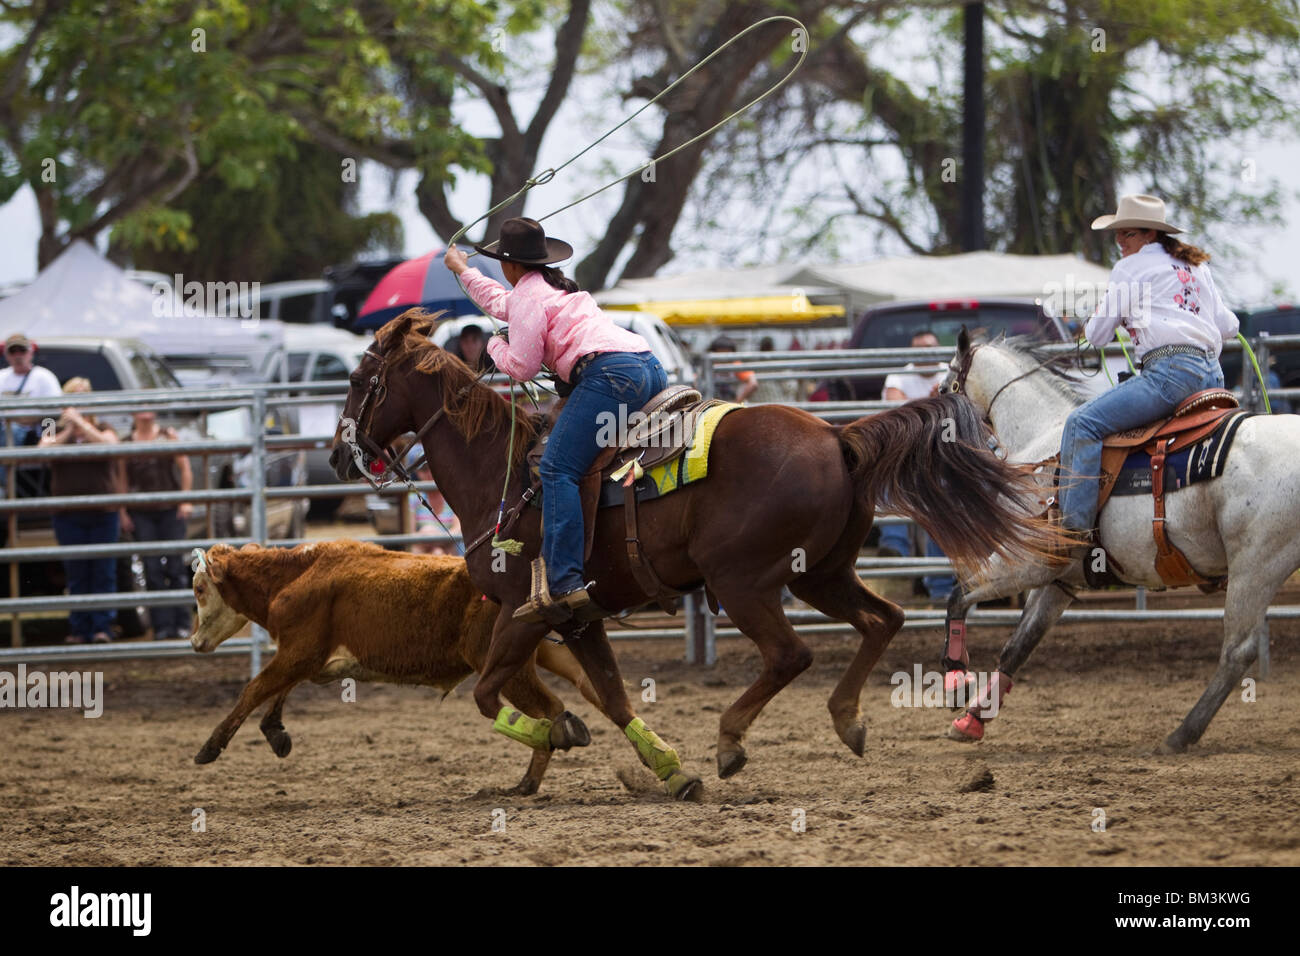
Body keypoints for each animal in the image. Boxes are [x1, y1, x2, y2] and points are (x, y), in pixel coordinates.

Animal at [190, 540, 604, 794]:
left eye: (198, 588)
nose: (194, 642)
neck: (295, 575)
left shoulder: (298, 652)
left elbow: (256, 689)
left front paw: (209, 747)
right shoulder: (306, 657)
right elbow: (279, 689)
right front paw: (275, 731)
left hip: (507, 665)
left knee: (550, 708)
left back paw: (531, 778)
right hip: (549, 654)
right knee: (594, 688)